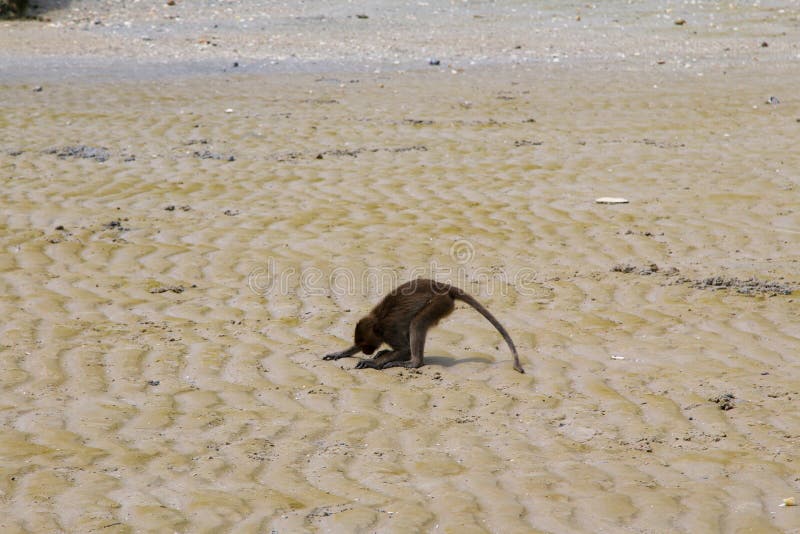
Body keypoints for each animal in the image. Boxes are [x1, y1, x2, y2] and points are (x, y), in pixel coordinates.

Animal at [323, 278, 524, 373]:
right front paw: (341, 353)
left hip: (439, 304)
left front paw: (372, 362)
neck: (377, 322)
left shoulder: (389, 332)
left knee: (417, 323)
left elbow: (404, 348)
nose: (366, 351)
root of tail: (443, 286)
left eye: (366, 346)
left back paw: (414, 362)